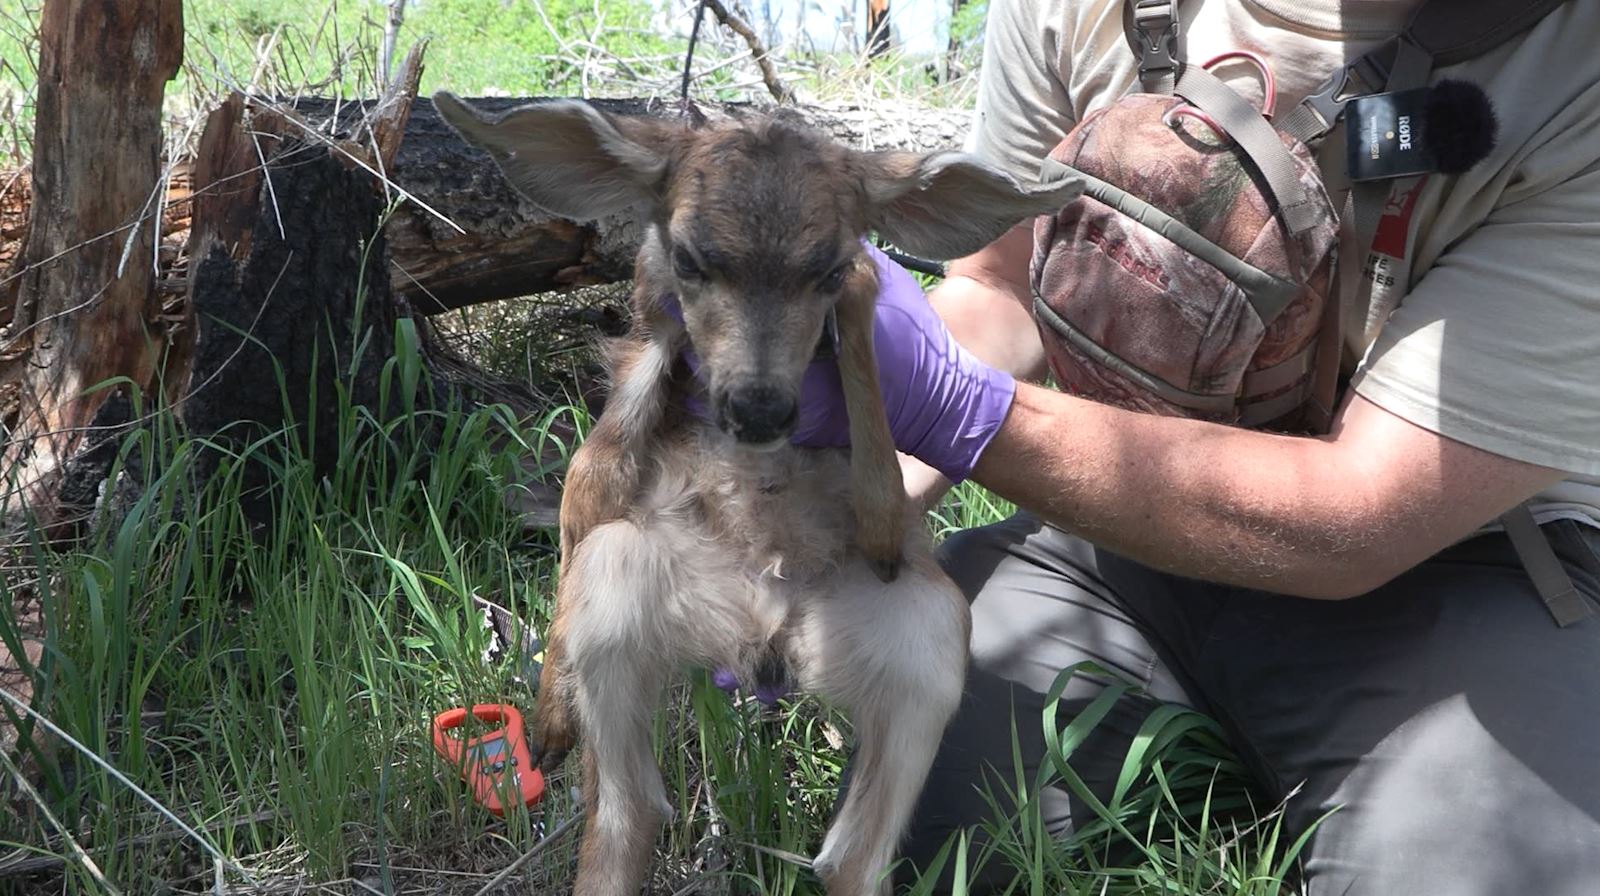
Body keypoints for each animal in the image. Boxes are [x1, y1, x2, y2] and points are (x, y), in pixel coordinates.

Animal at [433, 91, 1082, 896]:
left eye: (828, 269)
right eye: (689, 259)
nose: (761, 410)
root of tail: (761, 634)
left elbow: (874, 417)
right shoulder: (645, 346)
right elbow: (589, 482)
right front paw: (550, 715)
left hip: (927, 630)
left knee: (849, 853)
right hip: (620, 581)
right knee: (626, 810)